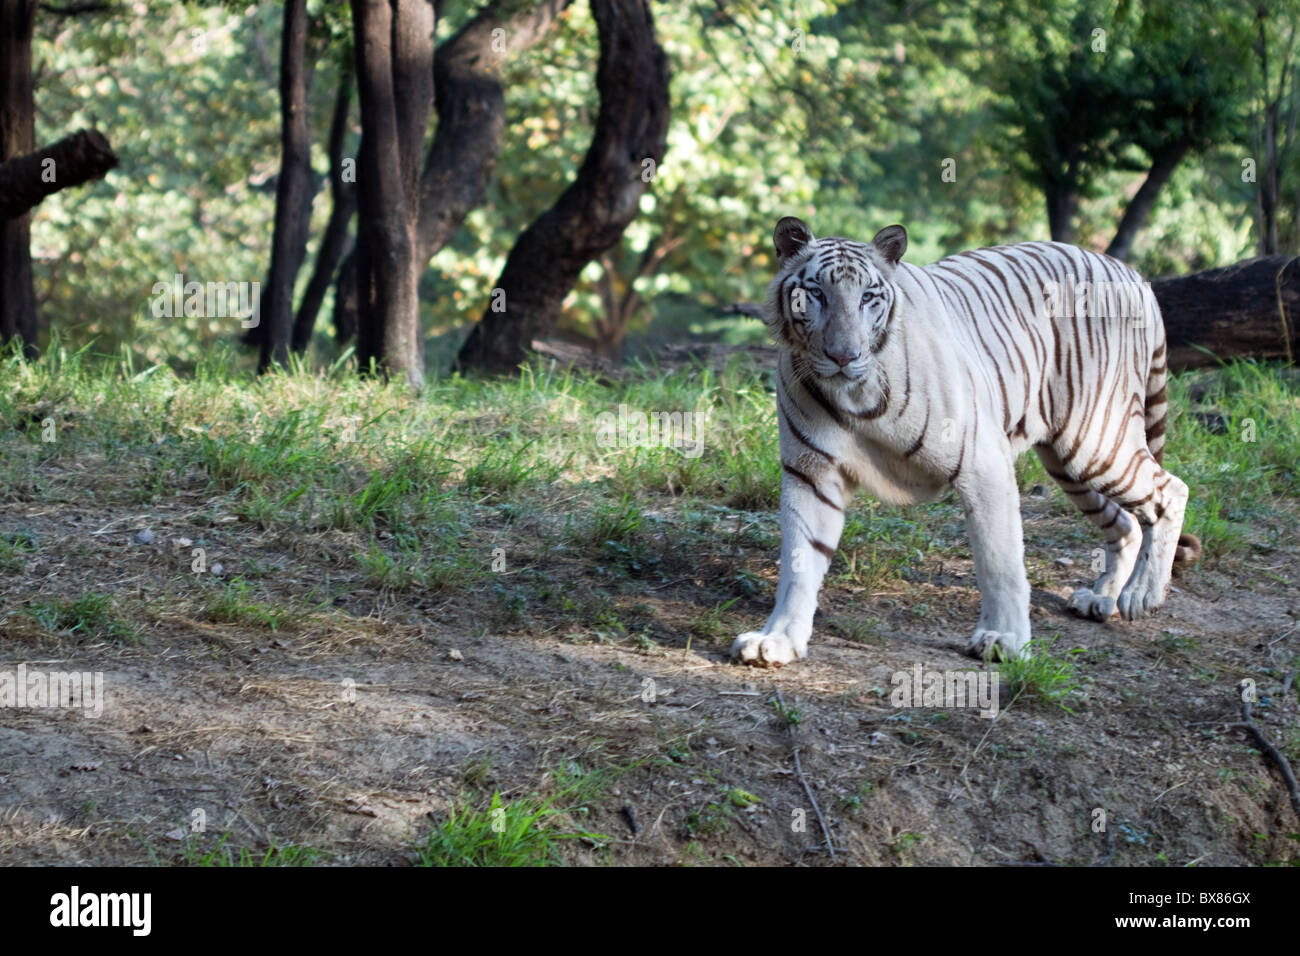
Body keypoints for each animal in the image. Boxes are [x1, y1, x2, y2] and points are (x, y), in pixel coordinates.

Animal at [731, 216, 1201, 667]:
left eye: (868, 297)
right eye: (815, 294)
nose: (844, 356)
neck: (853, 396)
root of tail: (1130, 272)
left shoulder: (984, 464)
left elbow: (1000, 564)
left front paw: (1004, 641)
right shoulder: (811, 472)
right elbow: (799, 562)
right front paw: (777, 640)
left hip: (1095, 440)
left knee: (1171, 490)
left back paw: (1143, 594)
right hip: (1067, 462)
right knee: (1126, 523)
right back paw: (1102, 597)